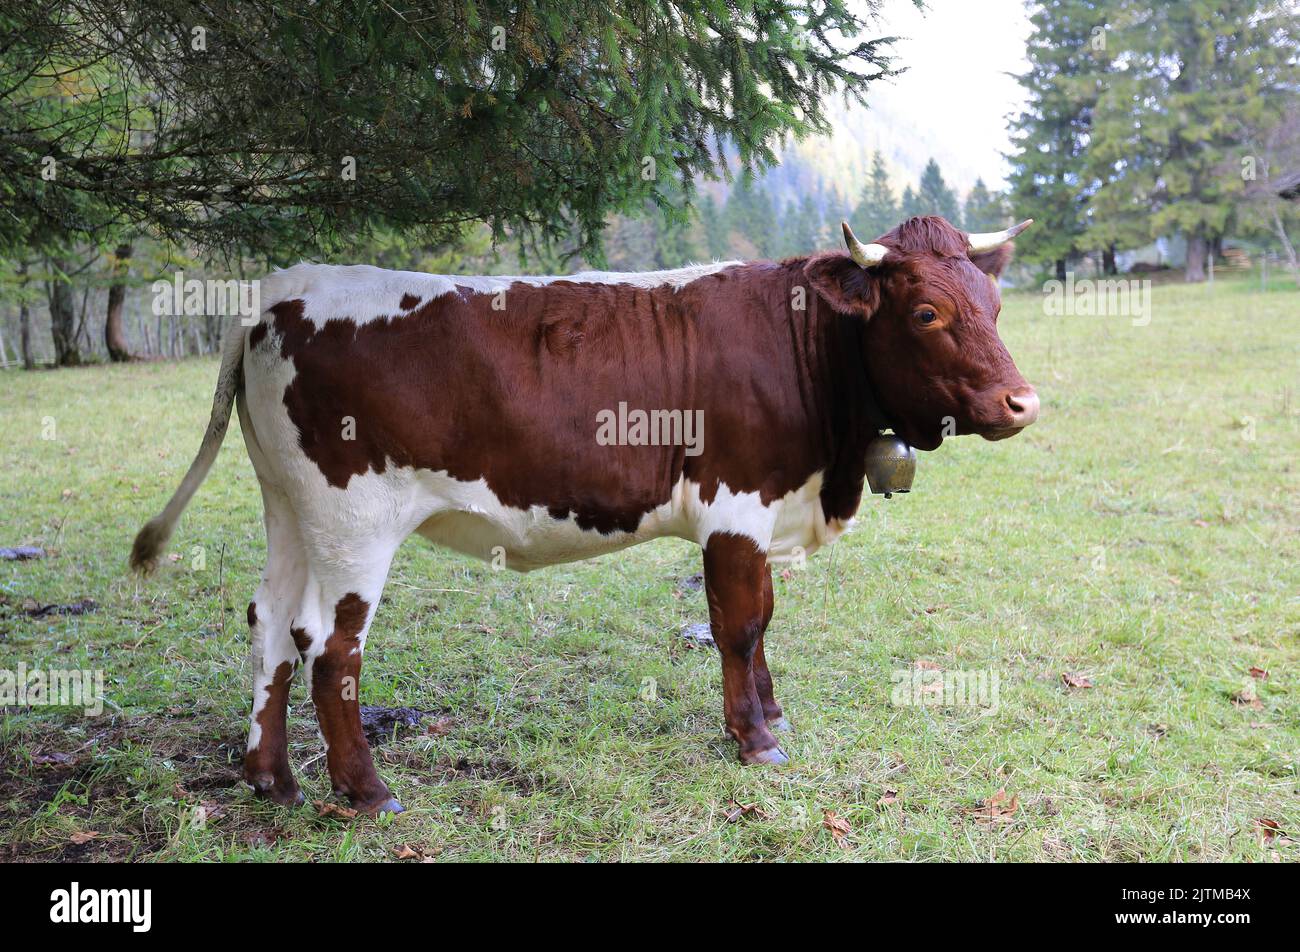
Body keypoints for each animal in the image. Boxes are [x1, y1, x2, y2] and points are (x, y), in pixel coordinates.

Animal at [131, 214, 1040, 815]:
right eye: (926, 312)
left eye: (995, 303)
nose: (1022, 402)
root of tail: (281, 291)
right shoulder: (734, 508)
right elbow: (740, 625)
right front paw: (754, 738)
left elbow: (765, 620)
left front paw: (772, 711)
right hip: (352, 520)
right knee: (328, 643)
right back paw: (364, 791)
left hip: (289, 507)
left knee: (269, 622)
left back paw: (270, 778)